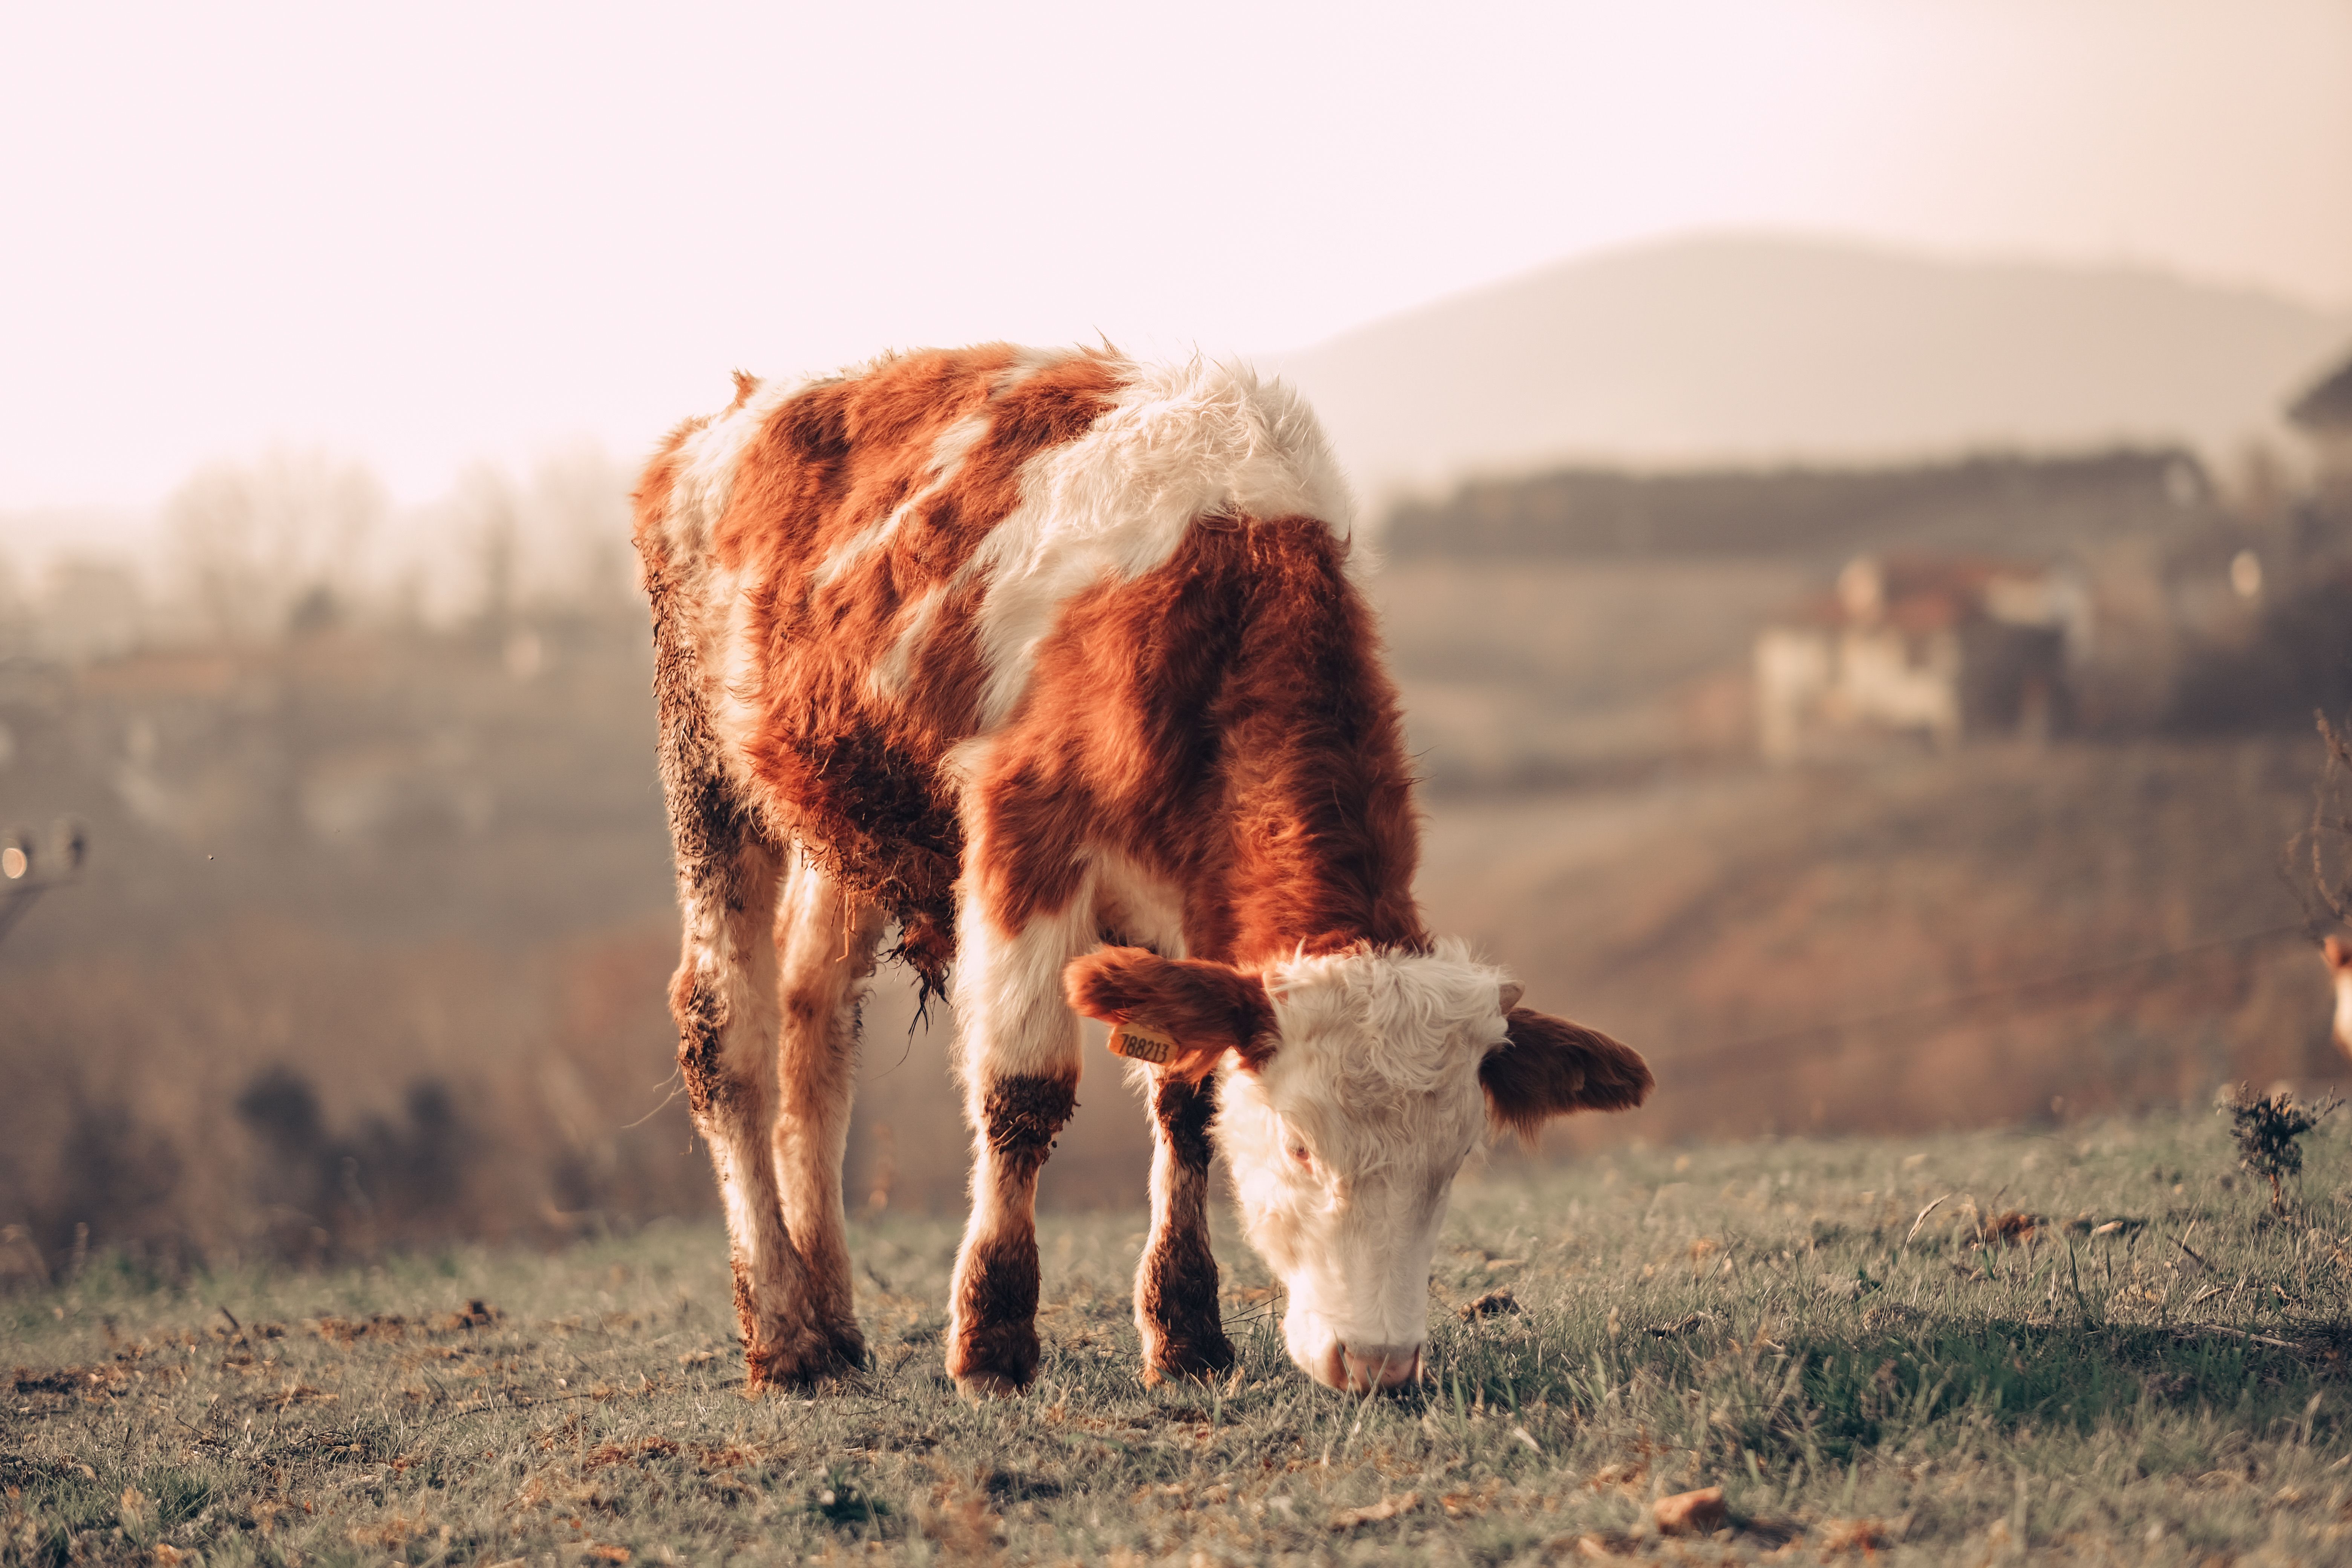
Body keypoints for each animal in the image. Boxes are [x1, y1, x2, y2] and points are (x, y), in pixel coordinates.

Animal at [629, 345, 1653, 1397]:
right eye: (1298, 1144)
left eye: (1452, 1161)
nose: (1376, 1362)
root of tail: (725, 419)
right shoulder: (1022, 827)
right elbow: (1023, 1091)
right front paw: (992, 1339)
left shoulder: (1188, 903)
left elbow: (1189, 1100)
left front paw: (1187, 1329)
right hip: (705, 762)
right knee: (723, 1030)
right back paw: (786, 1330)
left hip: (842, 814)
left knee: (814, 1016)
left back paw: (833, 1317)